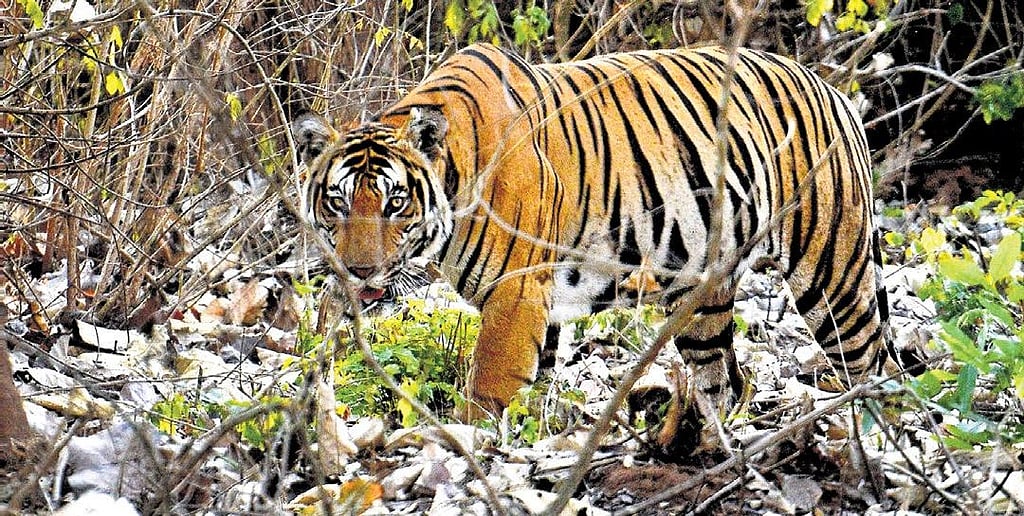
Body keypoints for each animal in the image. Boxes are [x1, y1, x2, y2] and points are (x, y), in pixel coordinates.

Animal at [293, 42, 897, 454]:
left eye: (396, 203)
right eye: (338, 203)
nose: (358, 270)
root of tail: (831, 90)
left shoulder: (515, 292)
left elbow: (487, 387)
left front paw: (471, 446)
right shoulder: (539, 304)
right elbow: (533, 387)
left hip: (834, 274)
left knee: (875, 363)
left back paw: (873, 444)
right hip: (704, 300)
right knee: (723, 379)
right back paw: (707, 448)